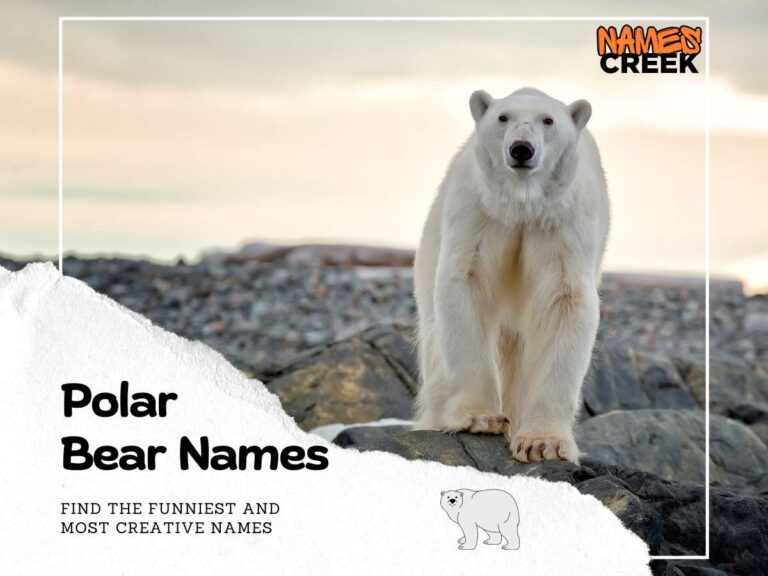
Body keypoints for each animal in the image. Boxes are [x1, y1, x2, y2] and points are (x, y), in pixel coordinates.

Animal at [413, 87, 609, 464]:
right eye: (502, 117)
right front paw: (479, 418)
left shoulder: (564, 223)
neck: (522, 206)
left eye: (548, 120)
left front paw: (542, 443)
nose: (521, 149)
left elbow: (564, 302)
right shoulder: (479, 212)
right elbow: (467, 284)